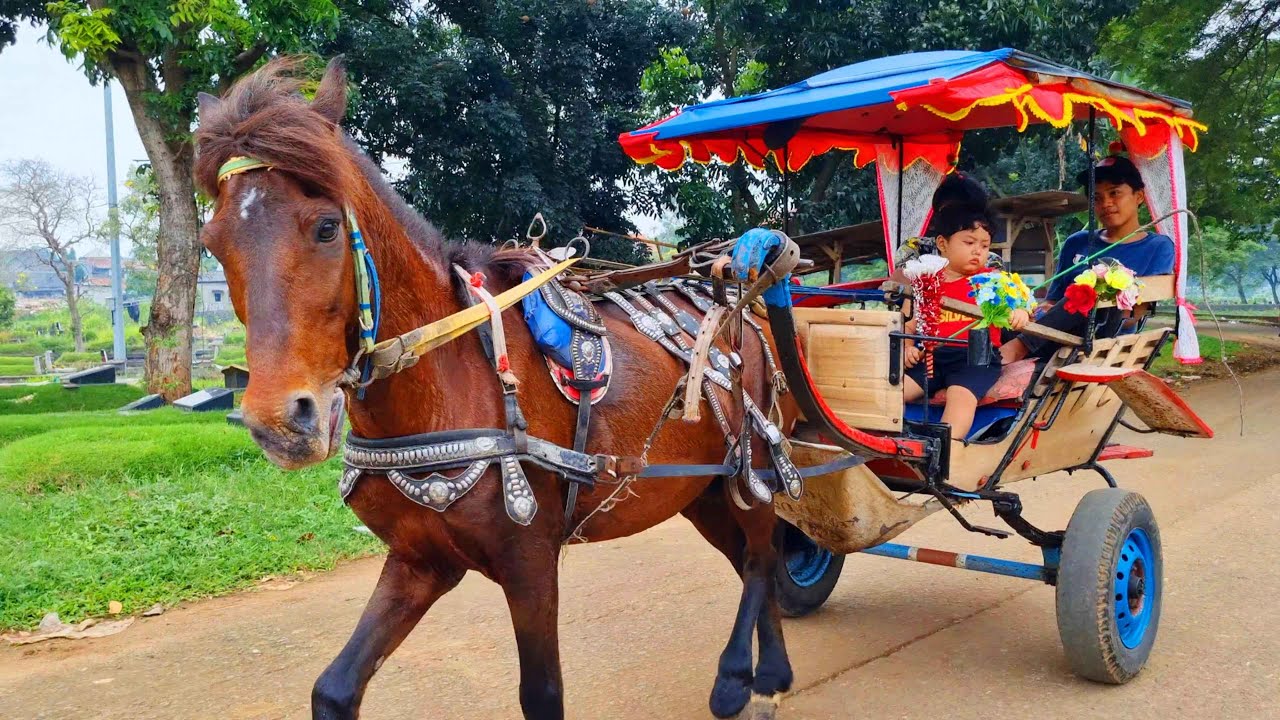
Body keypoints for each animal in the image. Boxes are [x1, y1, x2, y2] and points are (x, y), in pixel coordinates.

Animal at [194, 58, 803, 720]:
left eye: (327, 227)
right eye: (211, 244)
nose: (280, 424)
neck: (447, 385)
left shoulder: (530, 561)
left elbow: (542, 694)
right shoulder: (421, 560)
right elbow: (333, 689)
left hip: (752, 473)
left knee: (761, 557)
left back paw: (745, 674)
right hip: (700, 491)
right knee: (749, 562)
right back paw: (770, 671)